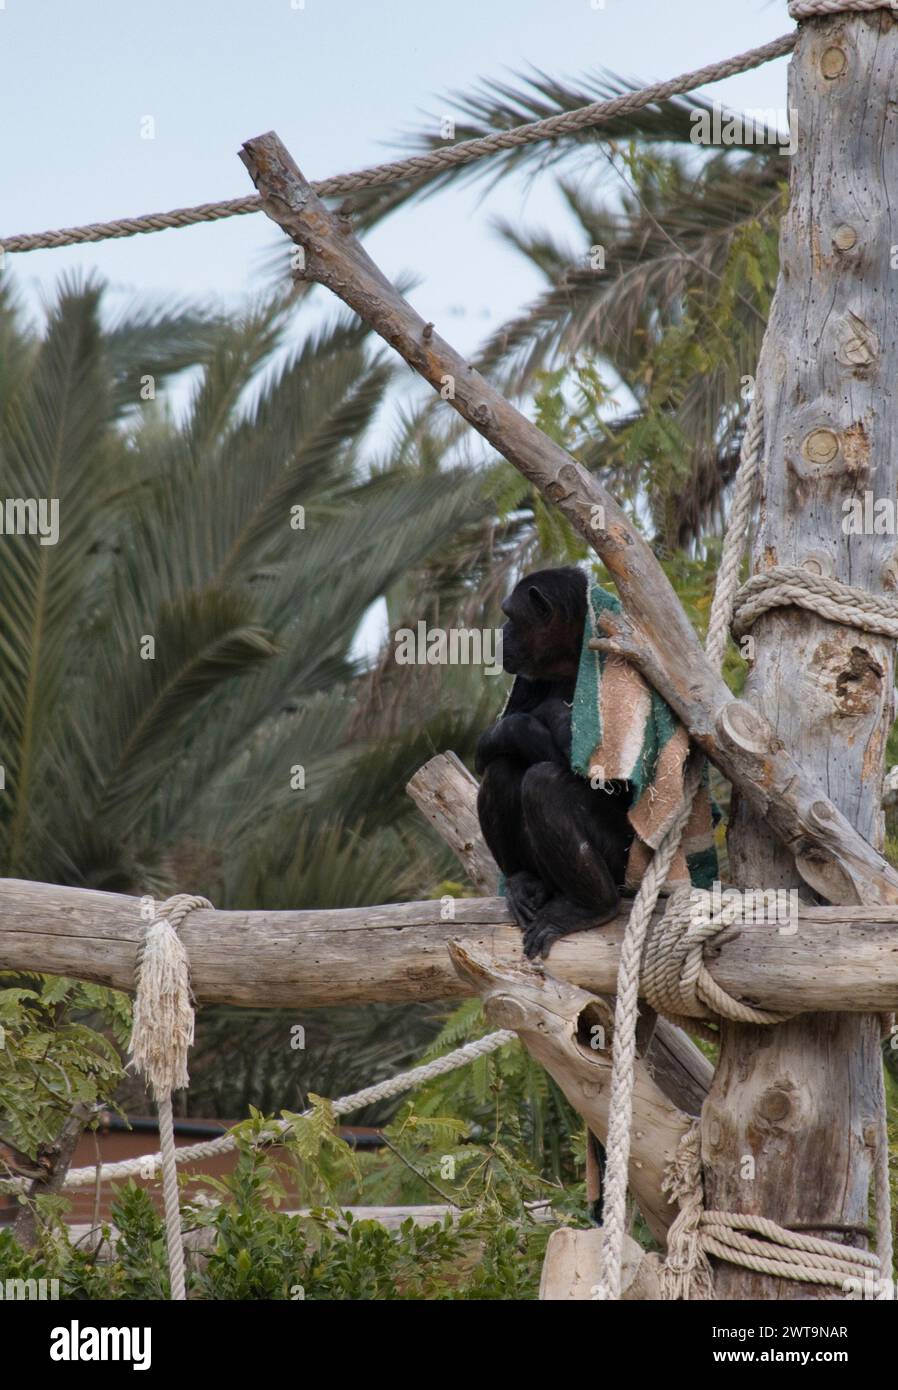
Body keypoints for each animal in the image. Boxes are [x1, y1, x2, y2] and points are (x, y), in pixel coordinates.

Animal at [475, 566, 633, 959]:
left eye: (511, 616)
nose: (501, 633)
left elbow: (611, 778)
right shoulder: (525, 679)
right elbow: (498, 738)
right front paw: (512, 729)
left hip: (623, 862)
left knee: (543, 781)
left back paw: (592, 906)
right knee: (503, 768)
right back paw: (522, 883)